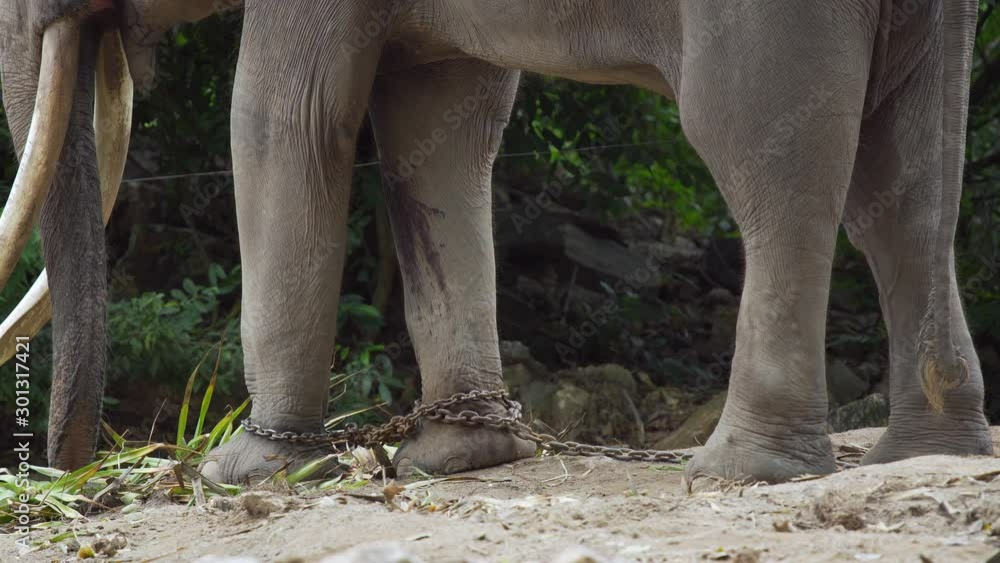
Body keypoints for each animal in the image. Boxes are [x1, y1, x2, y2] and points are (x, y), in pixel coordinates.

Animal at [0, 0, 992, 486]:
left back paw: (741, 474)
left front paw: (245, 471)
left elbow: (282, 118)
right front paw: (454, 460)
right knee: (906, 193)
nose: (66, 474)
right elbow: (437, 124)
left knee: (771, 170)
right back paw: (931, 453)